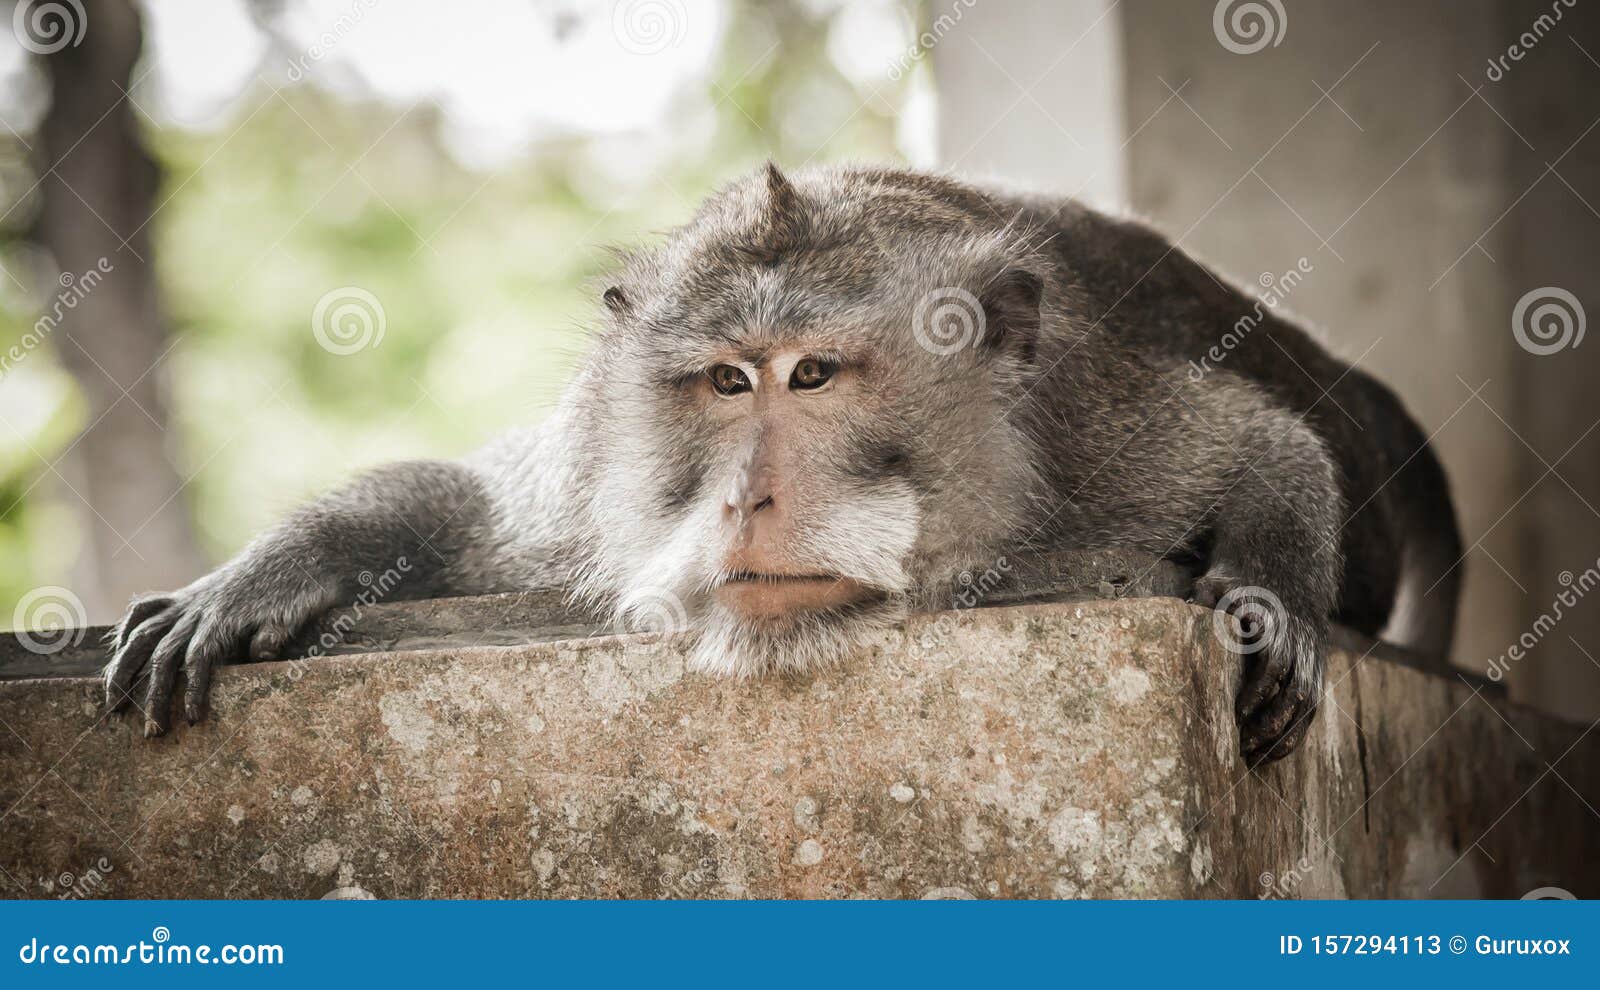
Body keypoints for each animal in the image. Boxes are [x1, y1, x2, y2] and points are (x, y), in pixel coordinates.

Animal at [103, 162, 1462, 767]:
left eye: (813, 376)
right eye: (724, 382)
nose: (751, 496)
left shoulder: (1086, 440)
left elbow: (1255, 447)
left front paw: (1271, 599)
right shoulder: (601, 482)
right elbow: (468, 509)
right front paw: (267, 576)